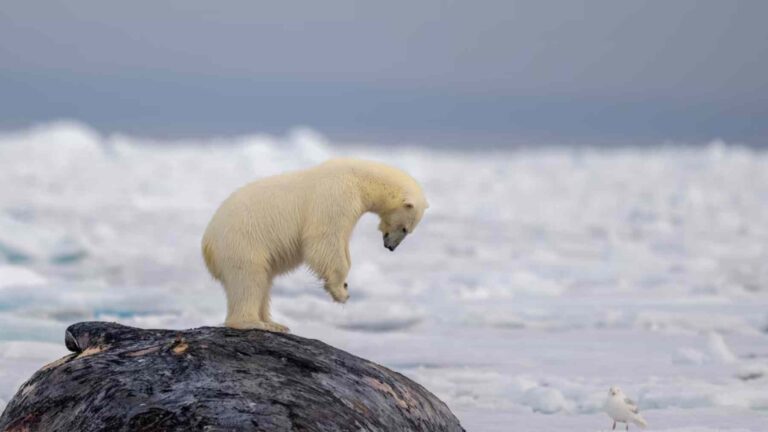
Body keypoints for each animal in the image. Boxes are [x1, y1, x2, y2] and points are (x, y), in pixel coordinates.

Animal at [202, 158, 428, 333]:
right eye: (405, 229)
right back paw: (254, 323)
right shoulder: (336, 196)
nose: (390, 247)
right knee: (248, 278)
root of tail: (207, 244)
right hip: (242, 242)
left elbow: (339, 244)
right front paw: (341, 291)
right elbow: (324, 240)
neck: (360, 178)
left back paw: (274, 323)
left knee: (263, 281)